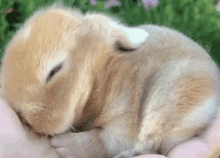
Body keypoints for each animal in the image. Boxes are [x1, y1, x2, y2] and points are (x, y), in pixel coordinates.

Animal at [0, 3, 219, 158]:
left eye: (55, 70)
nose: (31, 121)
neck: (103, 76)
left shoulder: (124, 119)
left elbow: (103, 140)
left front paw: (62, 146)